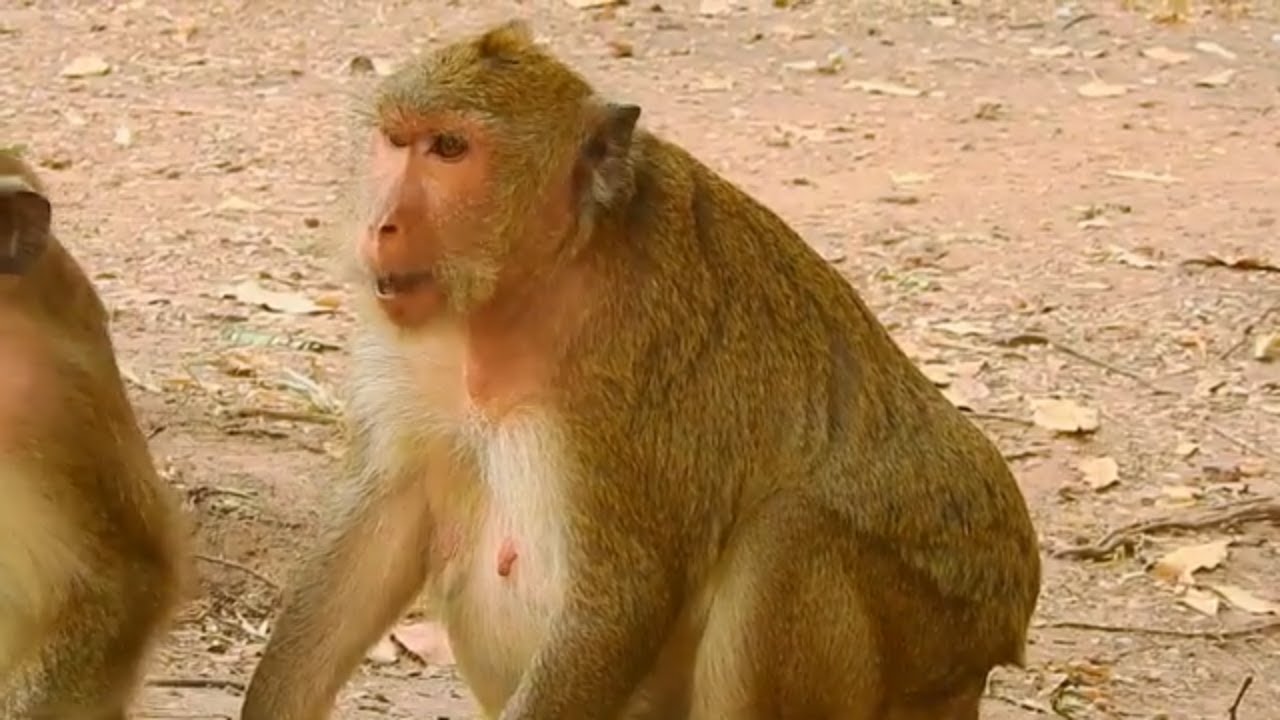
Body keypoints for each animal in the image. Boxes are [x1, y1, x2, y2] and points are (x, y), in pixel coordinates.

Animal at [240, 19, 1041, 720]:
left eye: (449, 148)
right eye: (393, 141)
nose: (382, 224)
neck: (537, 281)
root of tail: (981, 664)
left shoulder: (631, 373)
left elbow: (621, 599)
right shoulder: (416, 357)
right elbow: (378, 526)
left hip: (934, 631)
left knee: (790, 535)